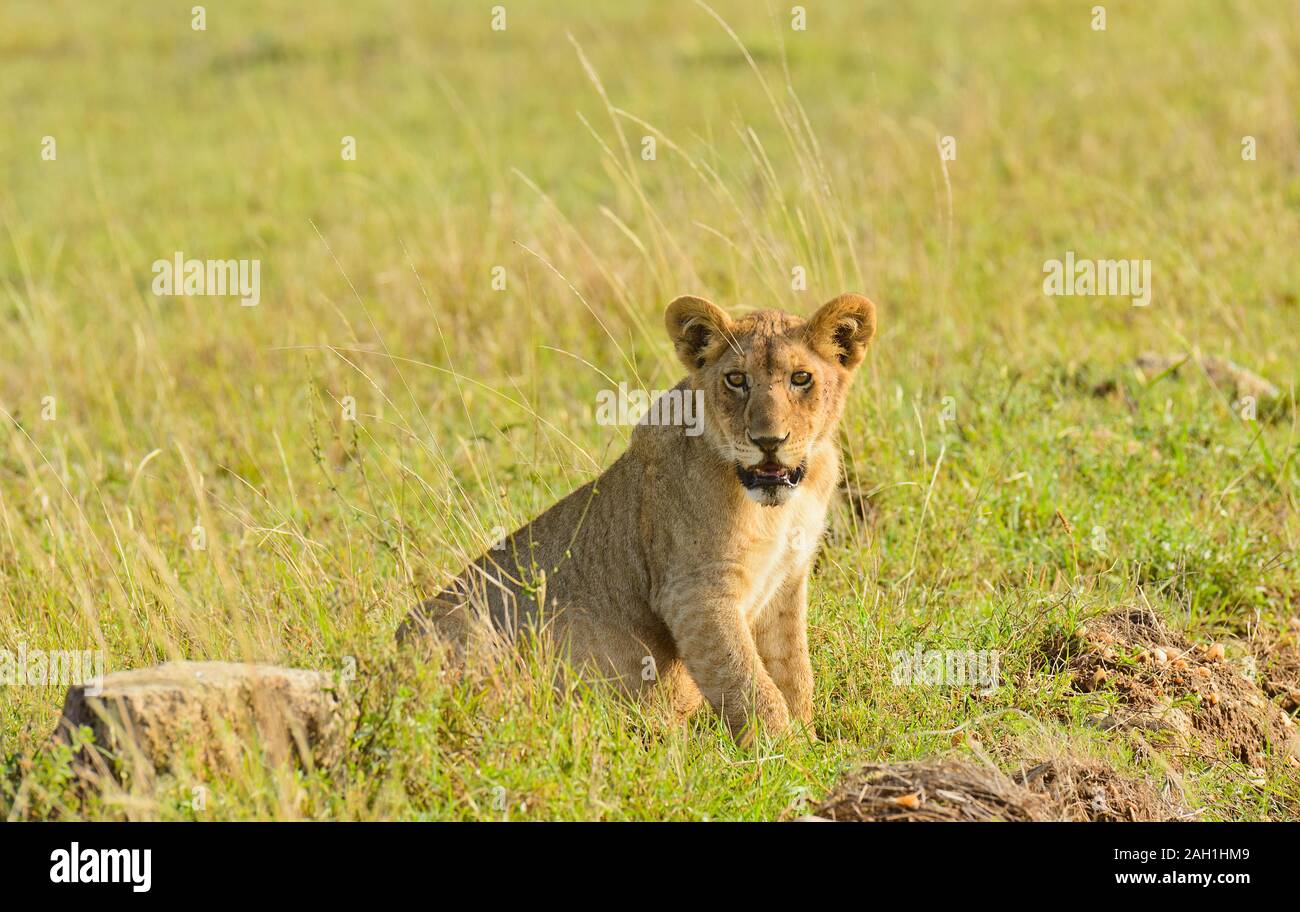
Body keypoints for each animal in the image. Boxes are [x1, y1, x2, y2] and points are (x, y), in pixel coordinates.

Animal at [399, 293, 877, 740]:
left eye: (801, 378)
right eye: (736, 380)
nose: (768, 441)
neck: (778, 509)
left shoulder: (787, 579)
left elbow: (792, 671)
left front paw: (807, 740)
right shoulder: (694, 592)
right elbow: (748, 682)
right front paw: (782, 754)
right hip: (464, 626)